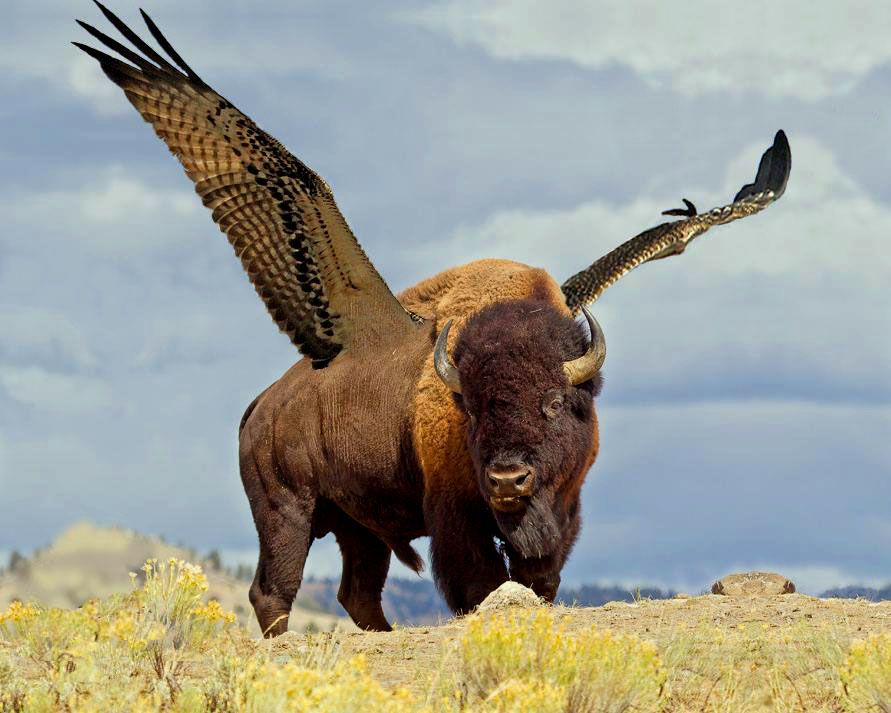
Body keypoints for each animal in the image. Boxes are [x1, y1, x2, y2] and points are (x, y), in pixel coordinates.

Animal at [76, 5, 790, 635]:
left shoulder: (561, 512)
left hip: (357, 526)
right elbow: (475, 583)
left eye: (556, 402)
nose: (508, 479)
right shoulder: (456, 519)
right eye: (469, 407)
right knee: (273, 589)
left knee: (355, 592)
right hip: (287, 510)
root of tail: (262, 405)